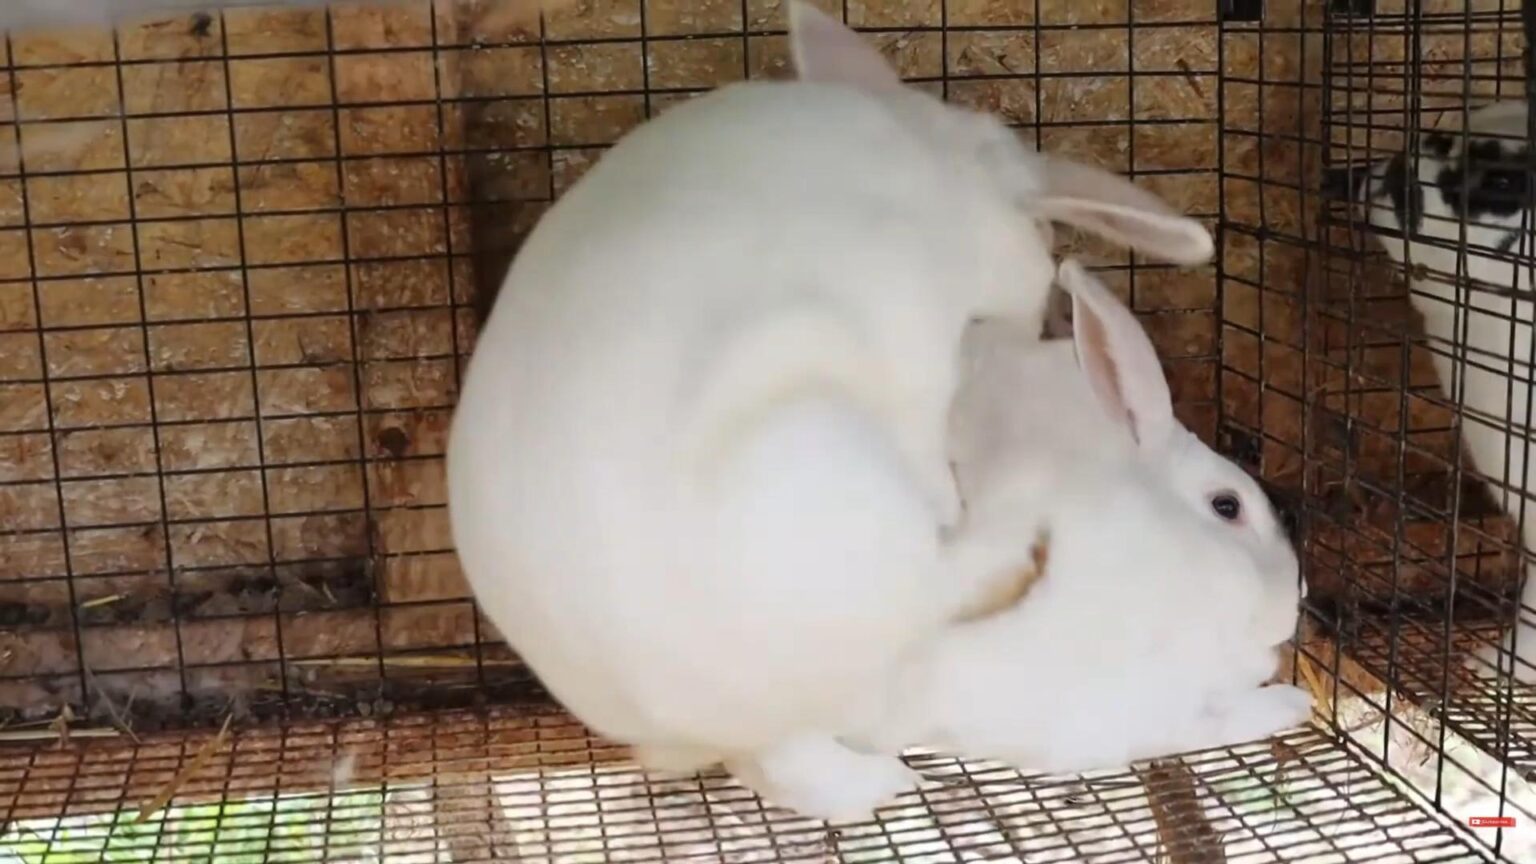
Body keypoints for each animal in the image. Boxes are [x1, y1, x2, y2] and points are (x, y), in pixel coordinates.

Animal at [447, 1, 1214, 822]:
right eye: (1040, 238)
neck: (949, 172)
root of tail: (696, 708)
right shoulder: (917, 352)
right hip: (829, 467)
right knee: (933, 588)